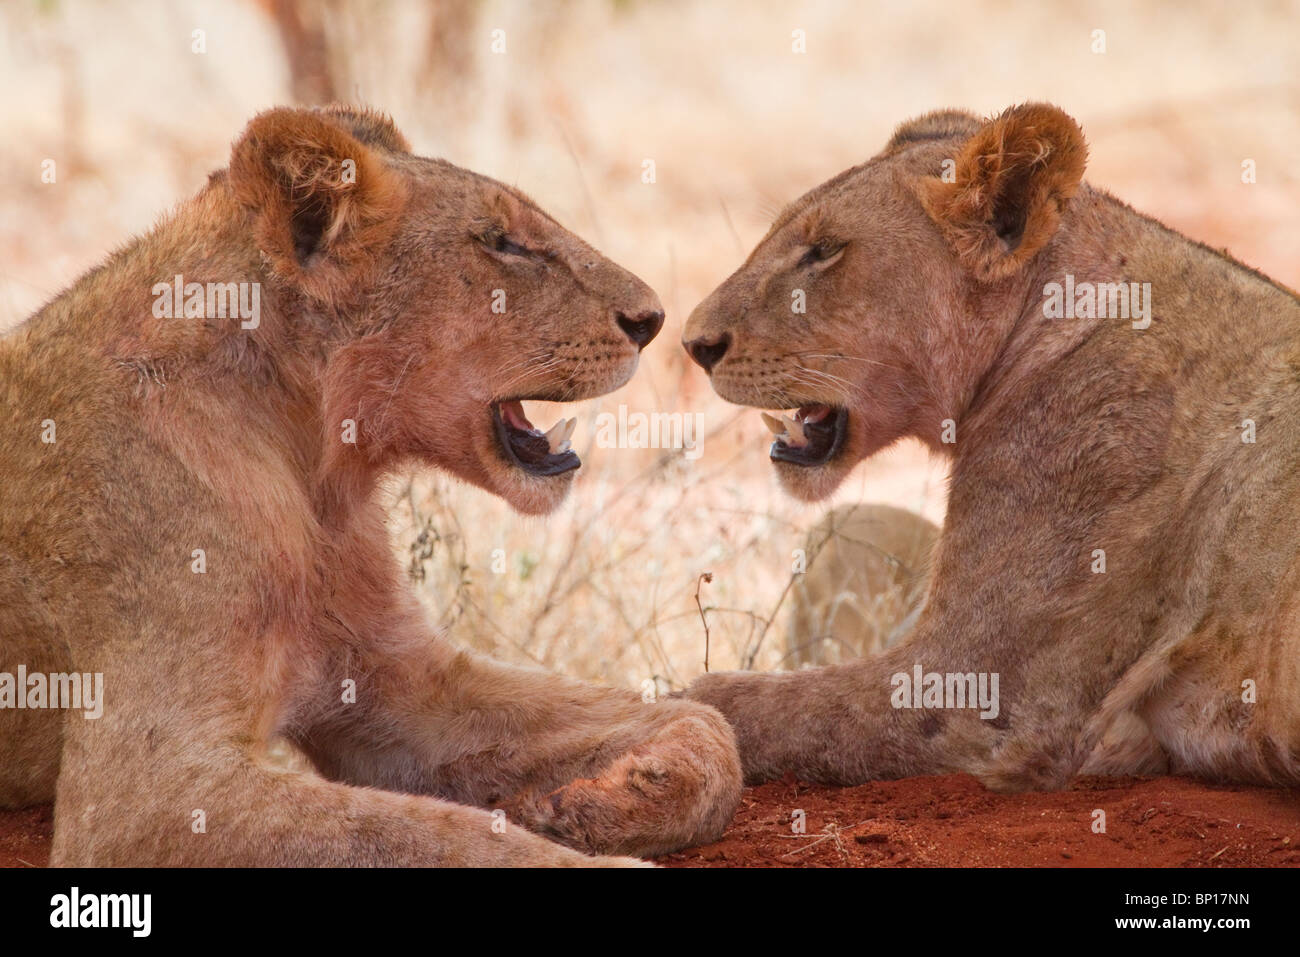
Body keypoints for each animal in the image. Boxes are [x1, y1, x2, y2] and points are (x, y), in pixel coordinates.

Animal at [0, 105, 742, 866]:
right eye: (503, 243)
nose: (653, 320)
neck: (312, 465)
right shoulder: (140, 796)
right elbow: (437, 834)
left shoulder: (400, 682)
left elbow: (705, 722)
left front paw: (617, 797)